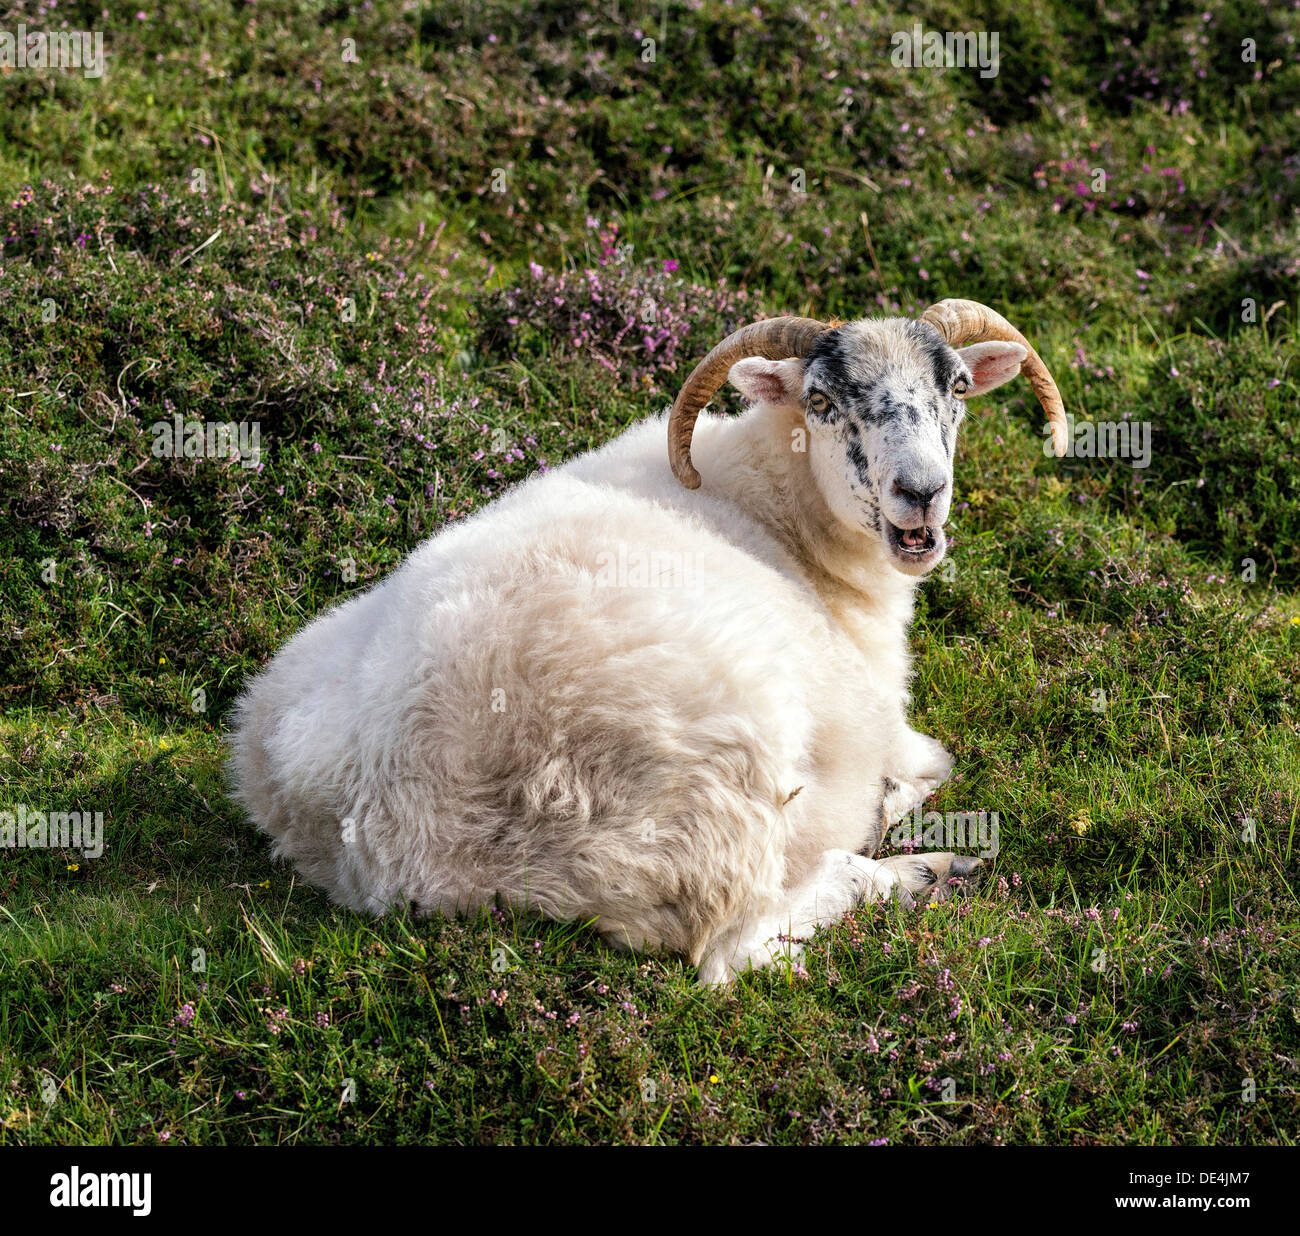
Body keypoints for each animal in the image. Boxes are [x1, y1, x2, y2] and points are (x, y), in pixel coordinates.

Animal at [228, 298, 1067, 984]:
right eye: (822, 400)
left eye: (957, 387)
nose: (921, 492)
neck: (775, 504)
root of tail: (396, 808)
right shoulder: (884, 727)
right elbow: (933, 762)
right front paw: (899, 816)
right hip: (727, 791)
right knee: (738, 950)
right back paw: (931, 869)